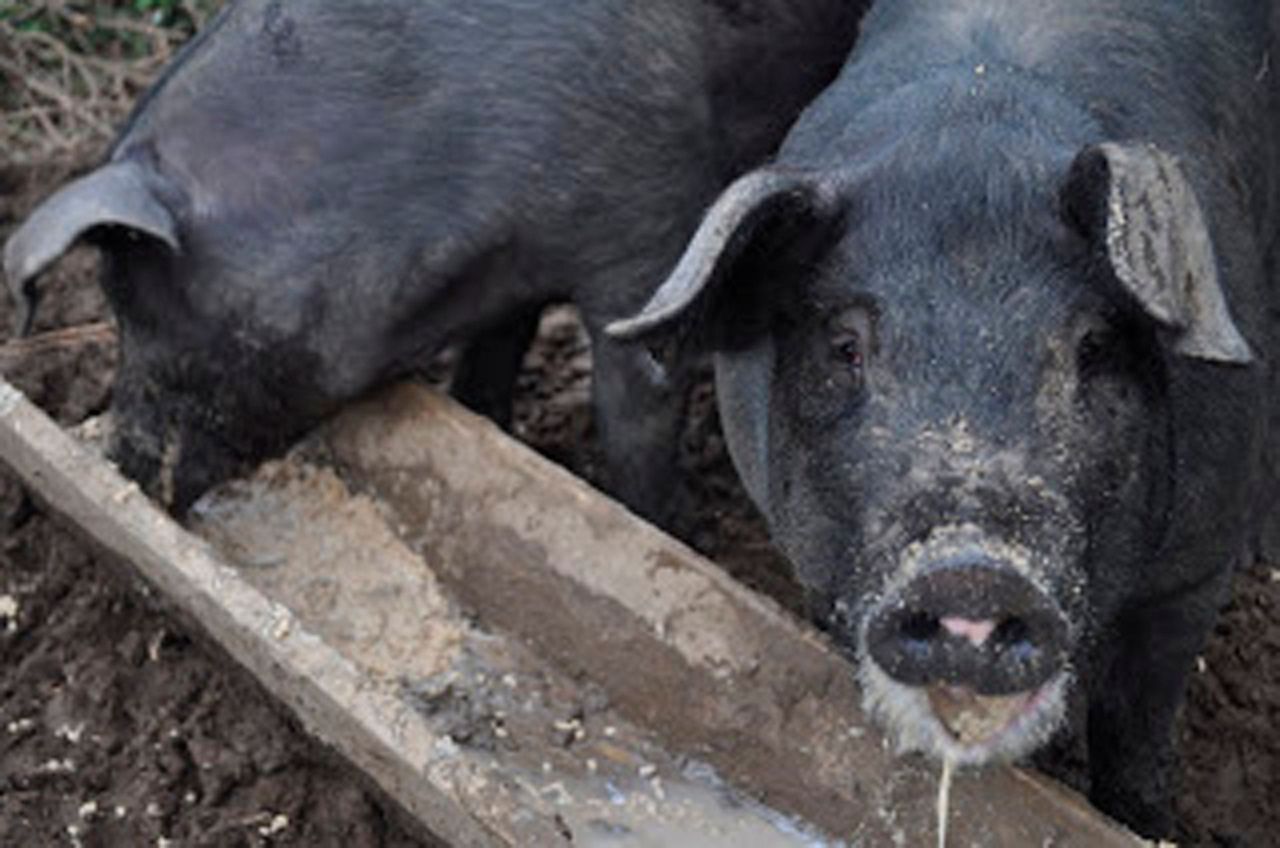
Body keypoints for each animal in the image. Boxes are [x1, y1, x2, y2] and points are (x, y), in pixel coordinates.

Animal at [3, 0, 866, 519]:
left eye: (141, 306)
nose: (126, 466)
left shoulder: (652, 216)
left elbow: (632, 416)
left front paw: (669, 527)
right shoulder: (512, 271)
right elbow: (487, 365)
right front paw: (495, 425)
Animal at [610, 0, 1280, 836]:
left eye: (1093, 346)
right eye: (846, 346)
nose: (970, 571)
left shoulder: (1191, 575)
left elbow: (1138, 733)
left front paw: (1142, 826)